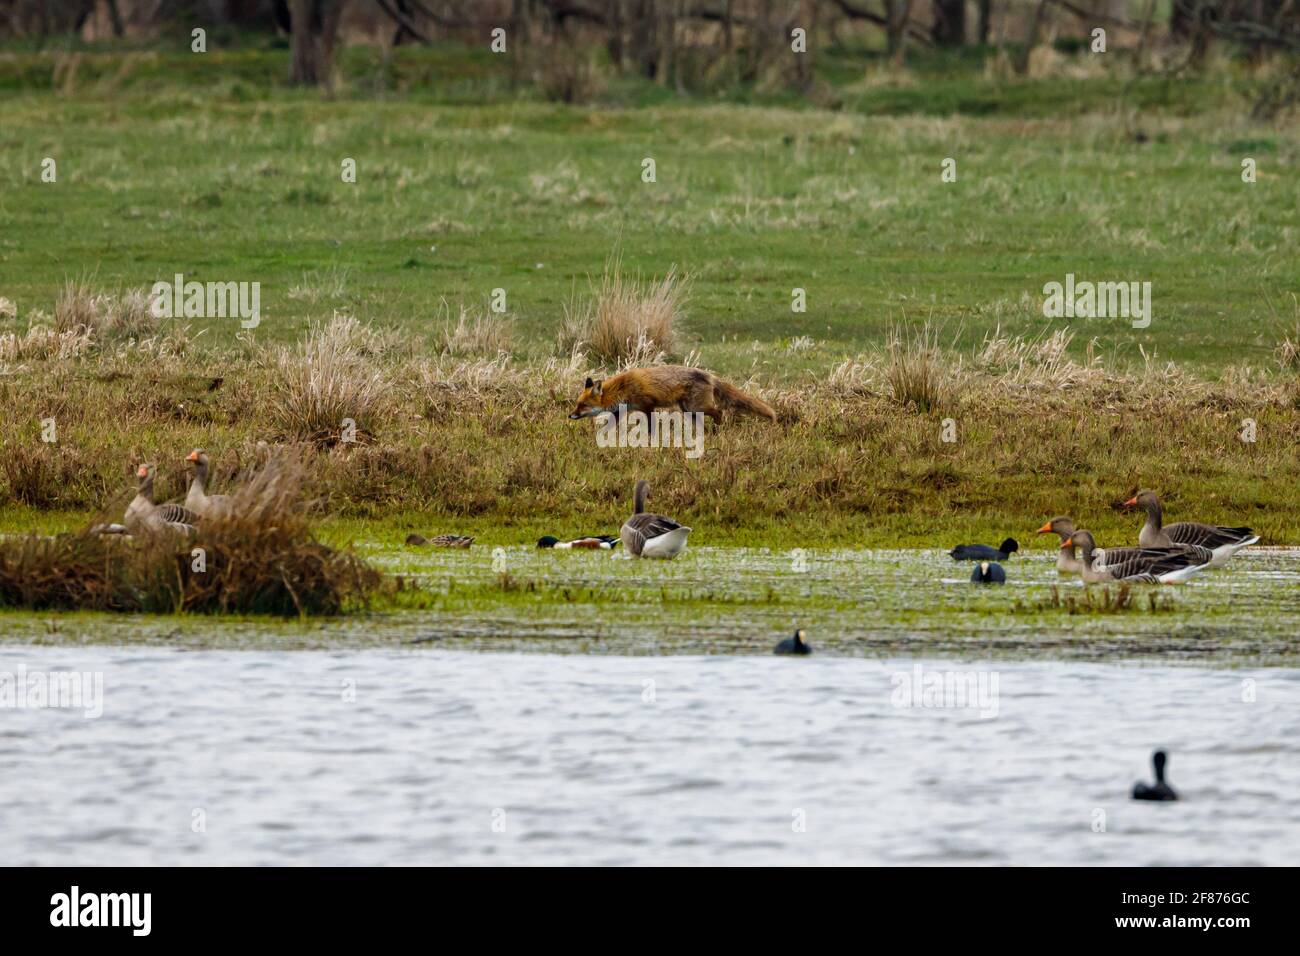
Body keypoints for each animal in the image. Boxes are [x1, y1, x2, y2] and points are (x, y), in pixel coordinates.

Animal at [569, 365, 777, 424]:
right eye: (577, 404)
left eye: (583, 405)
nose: (570, 415)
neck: (622, 388)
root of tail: (709, 375)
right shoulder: (622, 411)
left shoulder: (648, 405)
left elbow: (650, 427)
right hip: (689, 411)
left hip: (696, 407)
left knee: (719, 413)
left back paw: (717, 431)